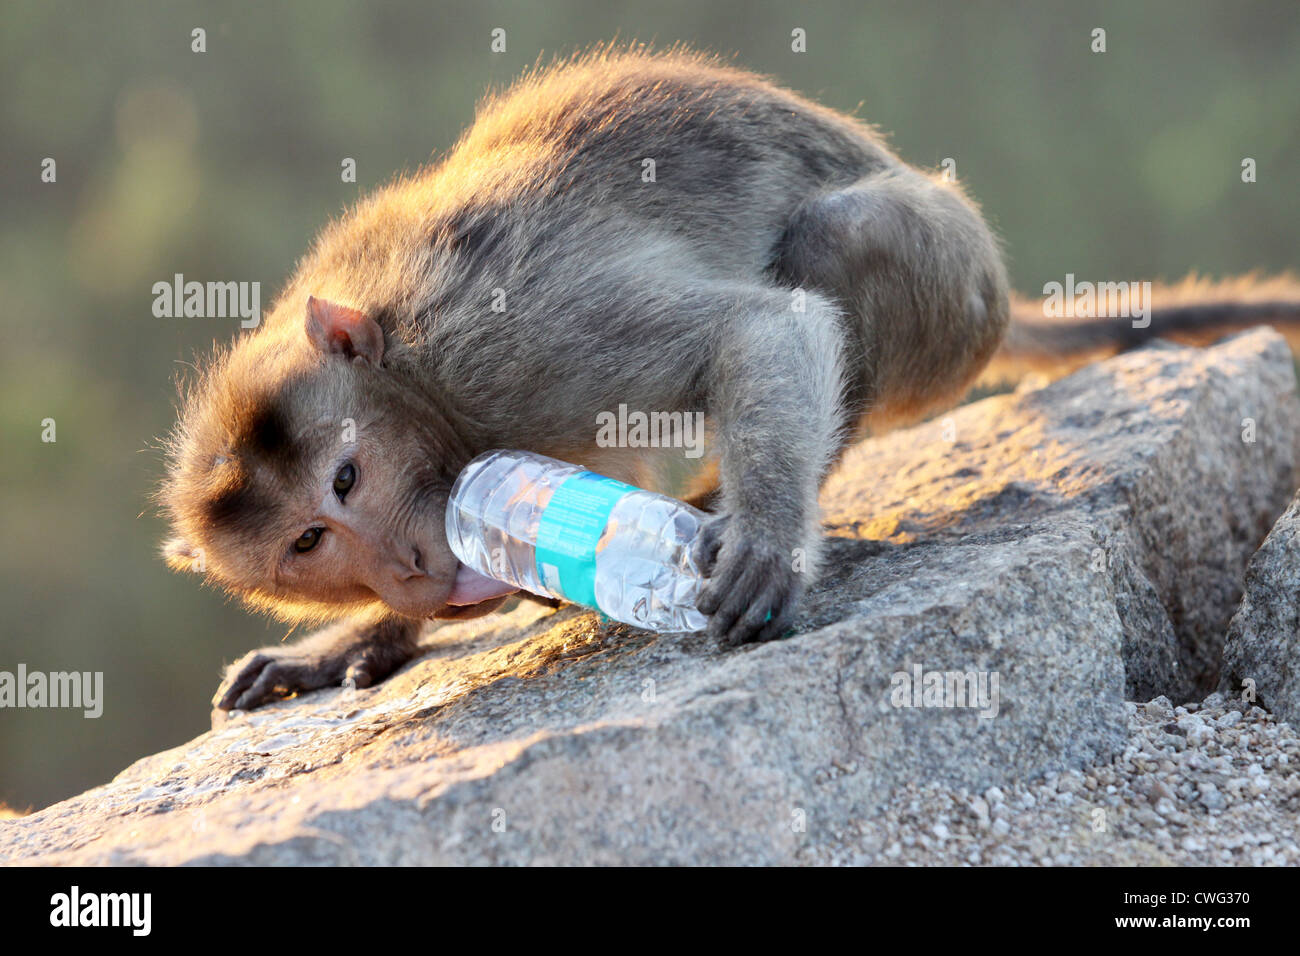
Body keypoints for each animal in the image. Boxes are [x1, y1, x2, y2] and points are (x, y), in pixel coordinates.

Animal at [158, 46, 1300, 714]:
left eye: (345, 482)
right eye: (307, 545)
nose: (399, 568)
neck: (419, 388)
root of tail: (1003, 292)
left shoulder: (513, 347)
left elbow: (760, 329)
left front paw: (761, 540)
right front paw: (361, 634)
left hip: (951, 277)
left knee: (842, 236)